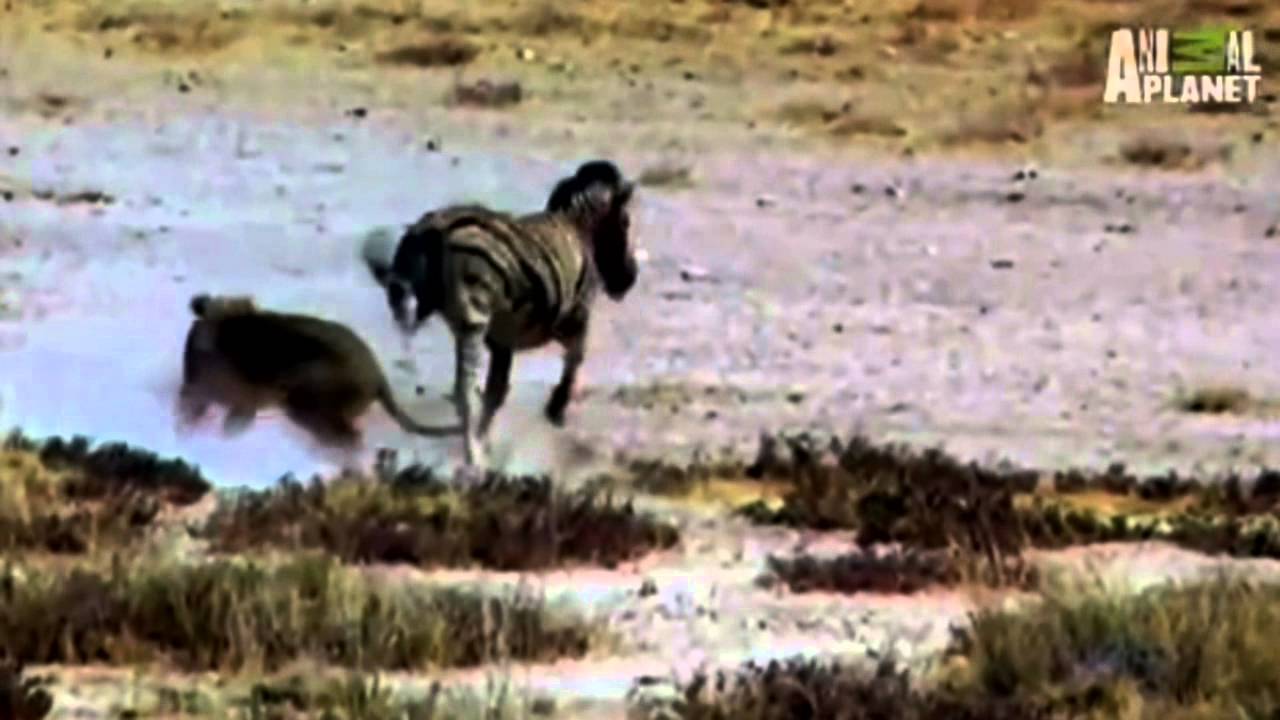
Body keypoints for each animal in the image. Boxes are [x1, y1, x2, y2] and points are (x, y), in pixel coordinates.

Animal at [364, 160, 640, 469]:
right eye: (626, 221)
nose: (629, 280)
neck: (577, 225)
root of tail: (436, 230)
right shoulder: (575, 319)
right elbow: (573, 361)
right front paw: (555, 410)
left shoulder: (502, 341)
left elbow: (497, 392)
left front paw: (488, 438)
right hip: (473, 320)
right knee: (465, 392)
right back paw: (474, 458)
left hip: (463, 326)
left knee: (463, 391)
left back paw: (472, 446)